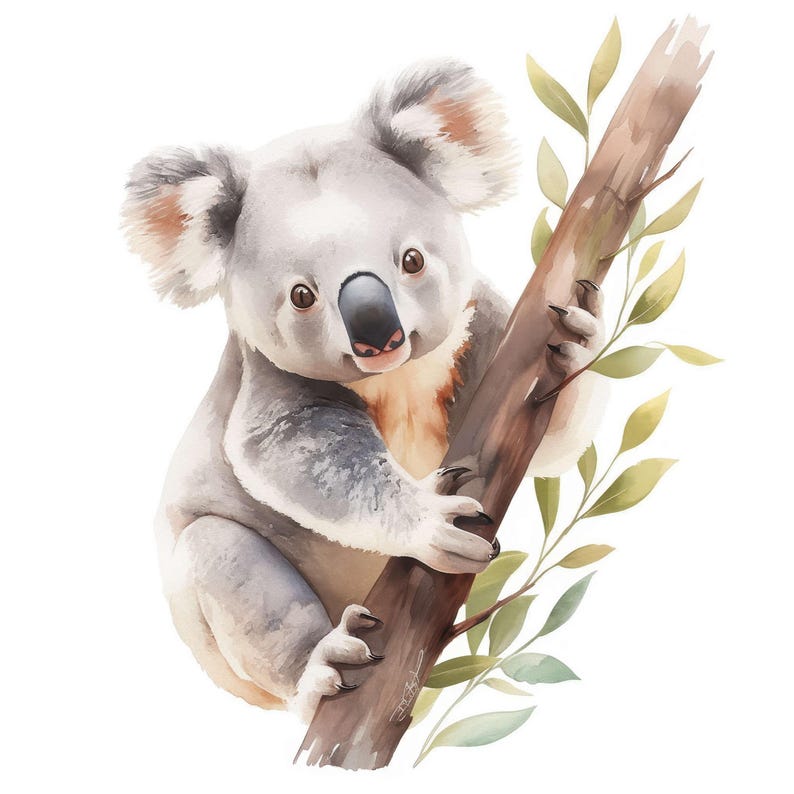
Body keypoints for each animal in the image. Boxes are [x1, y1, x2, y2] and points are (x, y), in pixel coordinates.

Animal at [122, 60, 605, 721]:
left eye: (412, 260)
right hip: (219, 585)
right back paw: (325, 666)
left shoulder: (487, 332)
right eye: (302, 295)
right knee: (236, 574)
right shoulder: (272, 387)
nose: (378, 332)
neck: (397, 379)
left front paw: (578, 339)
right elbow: (296, 456)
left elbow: (552, 441)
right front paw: (434, 522)